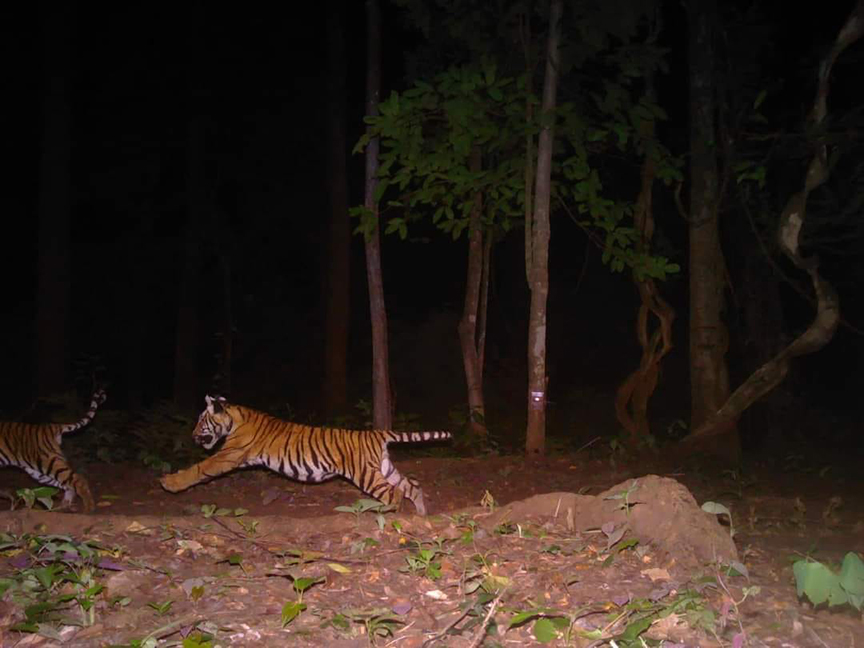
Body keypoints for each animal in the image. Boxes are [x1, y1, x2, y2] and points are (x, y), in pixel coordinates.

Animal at [160, 395, 451, 515]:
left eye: (201, 420)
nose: (192, 435)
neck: (235, 418)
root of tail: (376, 433)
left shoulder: (227, 455)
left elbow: (200, 468)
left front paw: (169, 483)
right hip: (384, 468)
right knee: (412, 486)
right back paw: (421, 515)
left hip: (366, 474)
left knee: (395, 493)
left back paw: (388, 514)